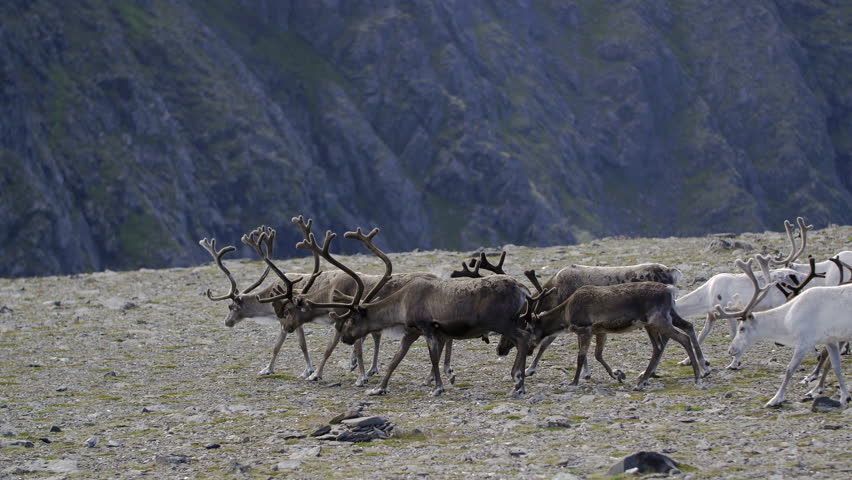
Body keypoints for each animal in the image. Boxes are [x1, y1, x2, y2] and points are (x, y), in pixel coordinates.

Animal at [299, 228, 538, 397]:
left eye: (353, 318)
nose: (346, 338)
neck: (403, 303)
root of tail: (524, 289)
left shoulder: (427, 328)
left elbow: (432, 357)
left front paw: (438, 387)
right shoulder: (411, 332)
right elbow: (396, 359)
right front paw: (379, 388)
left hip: (504, 322)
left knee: (523, 339)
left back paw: (518, 381)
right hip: (514, 322)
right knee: (525, 339)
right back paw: (519, 382)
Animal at [715, 258, 852, 408]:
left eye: (742, 328)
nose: (730, 350)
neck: (787, 322)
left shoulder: (804, 342)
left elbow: (789, 370)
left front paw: (775, 399)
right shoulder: (830, 340)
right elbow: (836, 366)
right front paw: (845, 397)